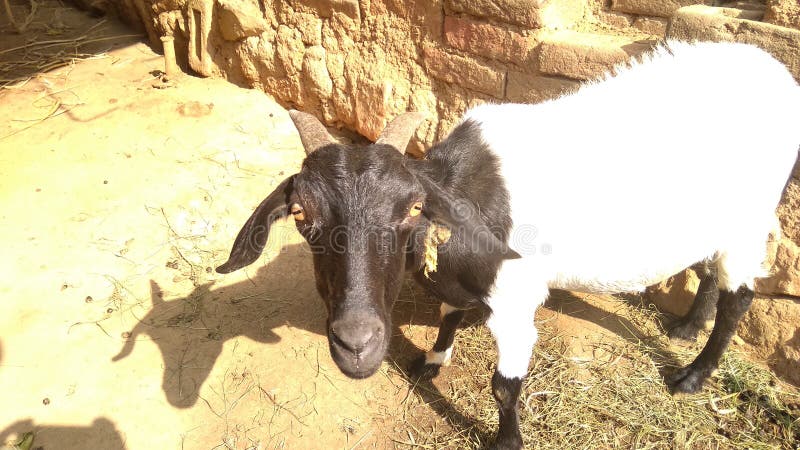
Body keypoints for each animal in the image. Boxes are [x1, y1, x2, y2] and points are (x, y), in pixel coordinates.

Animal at [217, 41, 800, 449]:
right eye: (300, 214)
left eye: (413, 209)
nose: (355, 345)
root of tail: (777, 71)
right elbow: (449, 313)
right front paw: (432, 359)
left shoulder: (517, 297)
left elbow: (504, 384)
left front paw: (506, 440)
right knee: (709, 272)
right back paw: (685, 327)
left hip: (749, 217)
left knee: (740, 298)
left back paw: (692, 375)